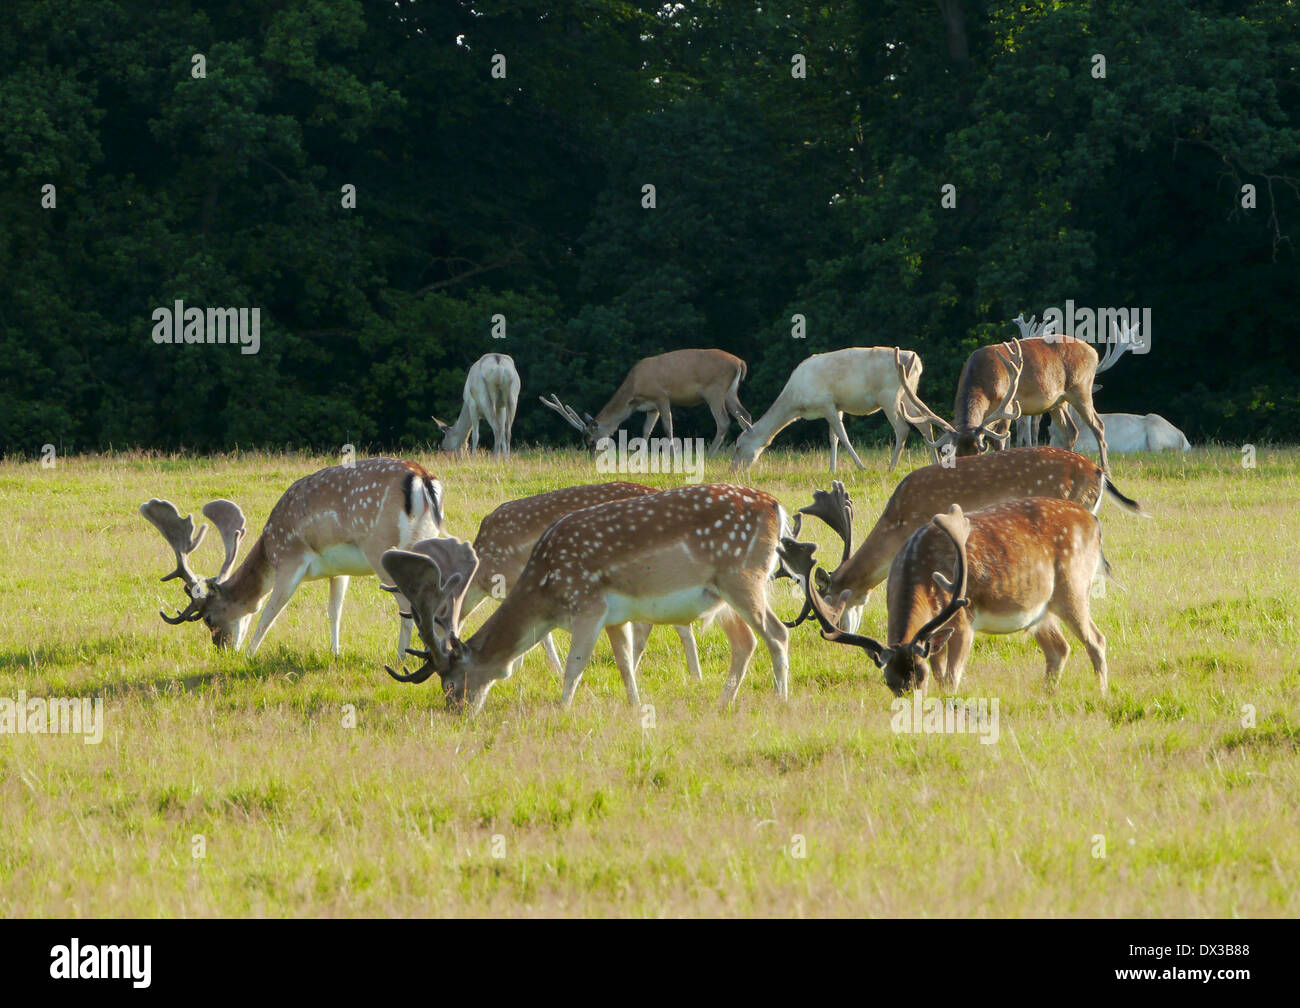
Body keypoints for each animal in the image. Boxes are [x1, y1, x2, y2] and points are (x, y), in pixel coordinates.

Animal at [140, 458, 445, 659]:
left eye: (209, 618)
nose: (222, 650)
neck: (269, 548)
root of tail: (422, 476)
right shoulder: (338, 570)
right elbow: (334, 611)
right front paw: (335, 652)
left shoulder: (290, 560)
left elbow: (269, 612)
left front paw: (249, 655)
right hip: (426, 541)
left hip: (380, 548)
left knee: (408, 607)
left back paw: (402, 657)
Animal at [541, 349, 752, 457]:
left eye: (591, 440)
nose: (592, 458)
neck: (634, 390)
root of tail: (740, 362)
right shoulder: (651, 407)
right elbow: (646, 430)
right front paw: (639, 456)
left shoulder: (662, 396)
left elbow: (667, 427)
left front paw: (673, 455)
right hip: (730, 393)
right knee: (745, 415)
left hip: (714, 391)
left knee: (724, 421)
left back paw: (709, 455)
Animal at [730, 347, 934, 473]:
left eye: (738, 446)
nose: (734, 470)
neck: (797, 403)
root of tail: (916, 362)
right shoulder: (837, 405)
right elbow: (833, 437)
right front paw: (832, 469)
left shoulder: (826, 402)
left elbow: (842, 435)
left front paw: (861, 467)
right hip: (907, 393)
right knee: (924, 423)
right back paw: (936, 461)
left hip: (889, 395)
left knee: (903, 428)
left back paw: (891, 468)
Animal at [781, 498, 1114, 696]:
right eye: (889, 681)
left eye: (921, 676)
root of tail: (1094, 522)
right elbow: (944, 674)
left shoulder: (964, 621)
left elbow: (951, 679)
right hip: (1039, 610)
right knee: (1059, 649)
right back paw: (1049, 694)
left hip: (1073, 586)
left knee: (1096, 639)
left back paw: (1102, 692)